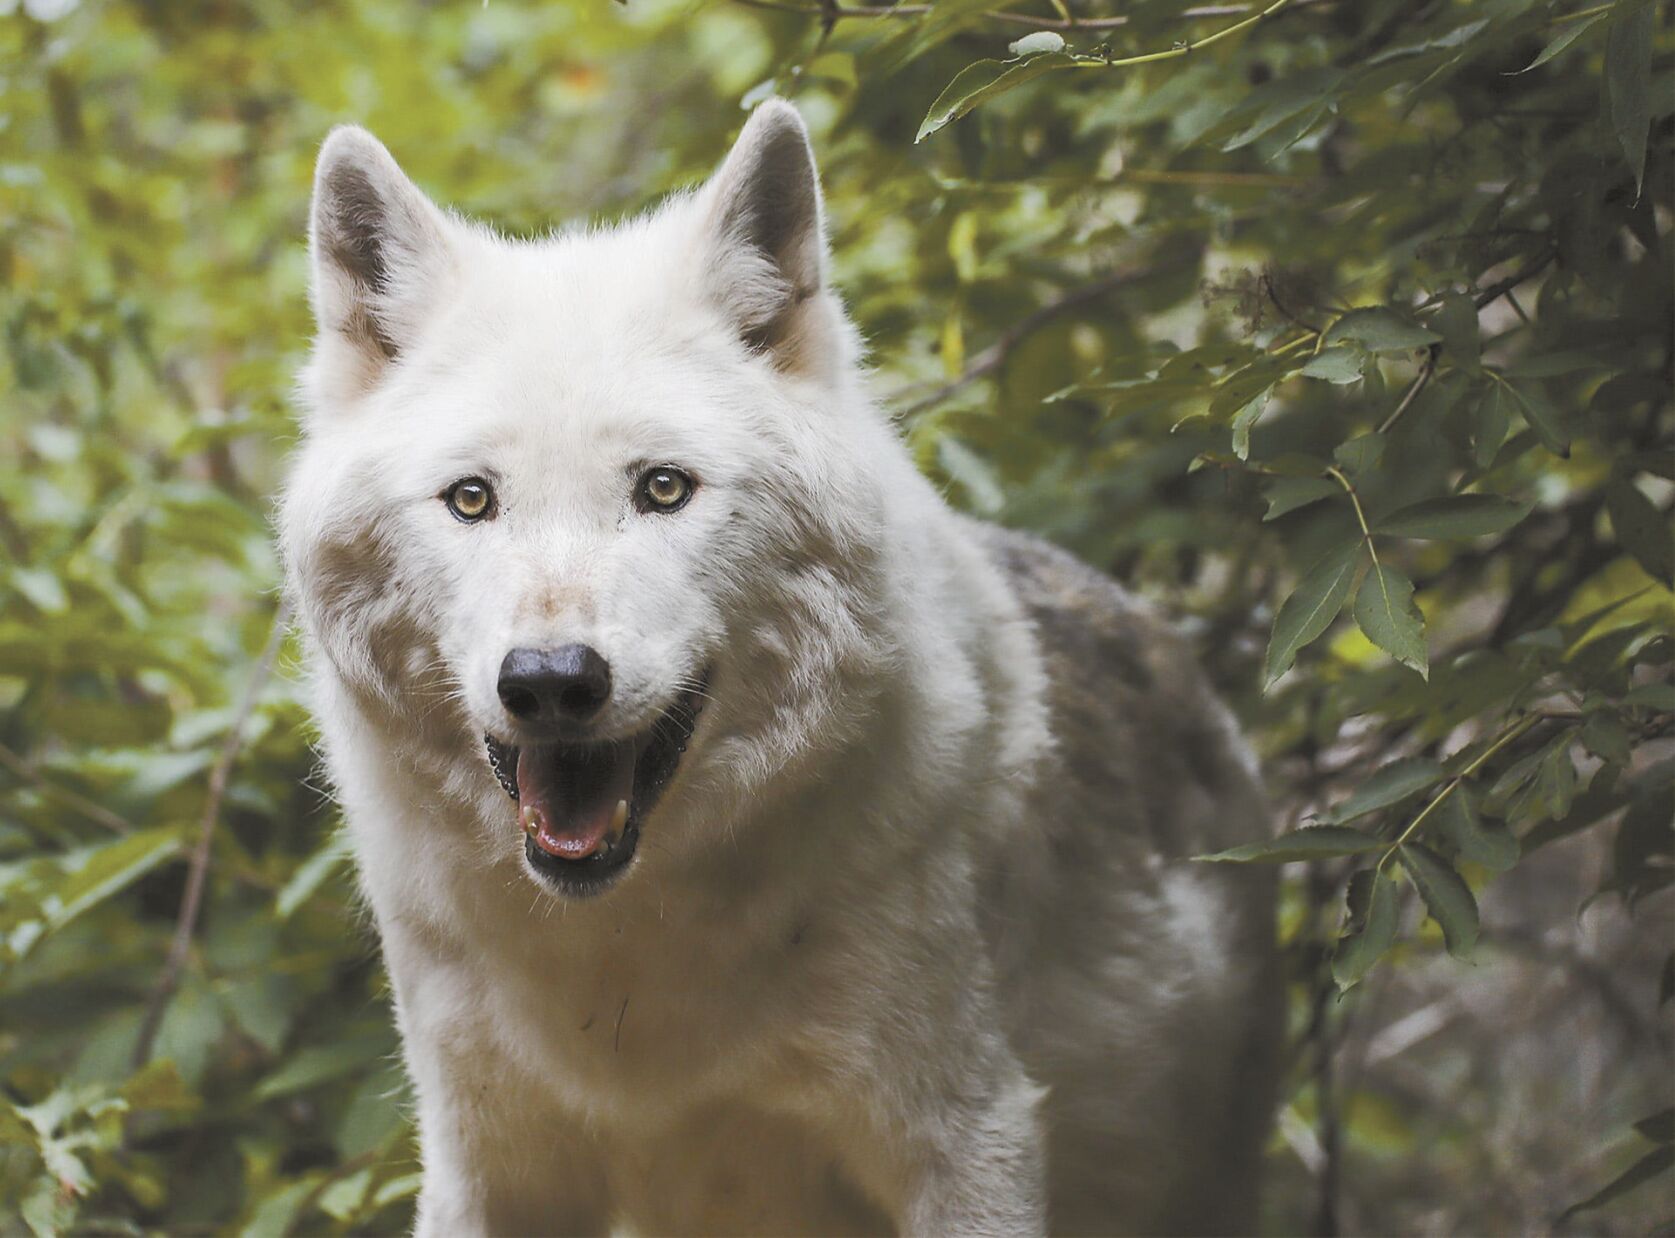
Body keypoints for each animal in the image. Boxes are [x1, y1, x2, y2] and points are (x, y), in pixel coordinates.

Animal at [279, 100, 1280, 1236]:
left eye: (664, 488)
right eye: (472, 499)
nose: (551, 681)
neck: (628, 955)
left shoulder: (971, 1140)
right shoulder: (486, 1166)